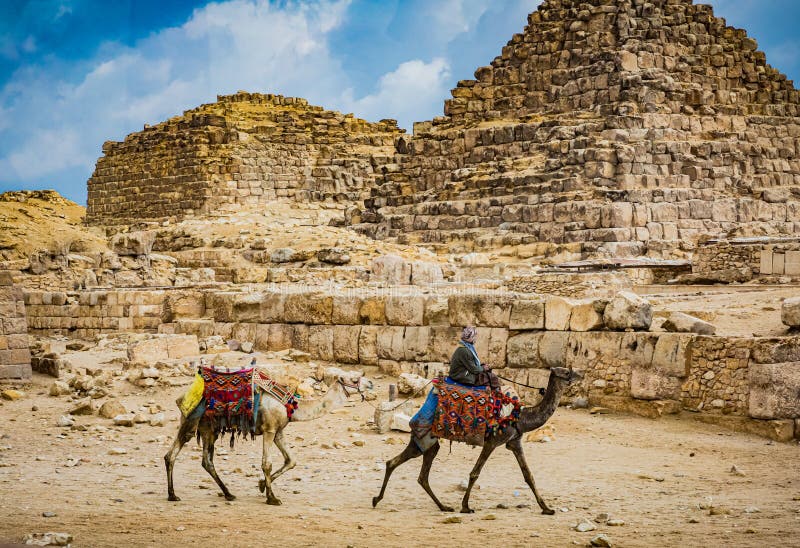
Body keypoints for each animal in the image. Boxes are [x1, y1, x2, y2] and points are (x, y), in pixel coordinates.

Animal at [164, 374, 372, 505]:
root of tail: (184, 396)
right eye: (354, 379)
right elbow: (266, 464)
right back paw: (174, 495)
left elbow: (291, 461)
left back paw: (228, 494)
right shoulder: (269, 430)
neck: (291, 406)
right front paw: (272, 498)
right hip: (194, 422)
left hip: (209, 429)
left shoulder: (279, 432)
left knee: (203, 460)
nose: (370, 383)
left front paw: (262, 485)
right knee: (174, 454)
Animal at [372, 366, 583, 514]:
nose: (581, 375)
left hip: (426, 443)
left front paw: (547, 509)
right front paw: (466, 506)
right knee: (405, 466)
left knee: (406, 468)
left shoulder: (514, 442)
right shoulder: (492, 441)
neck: (520, 417)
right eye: (566, 371)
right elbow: (475, 473)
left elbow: (528, 475)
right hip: (425, 438)